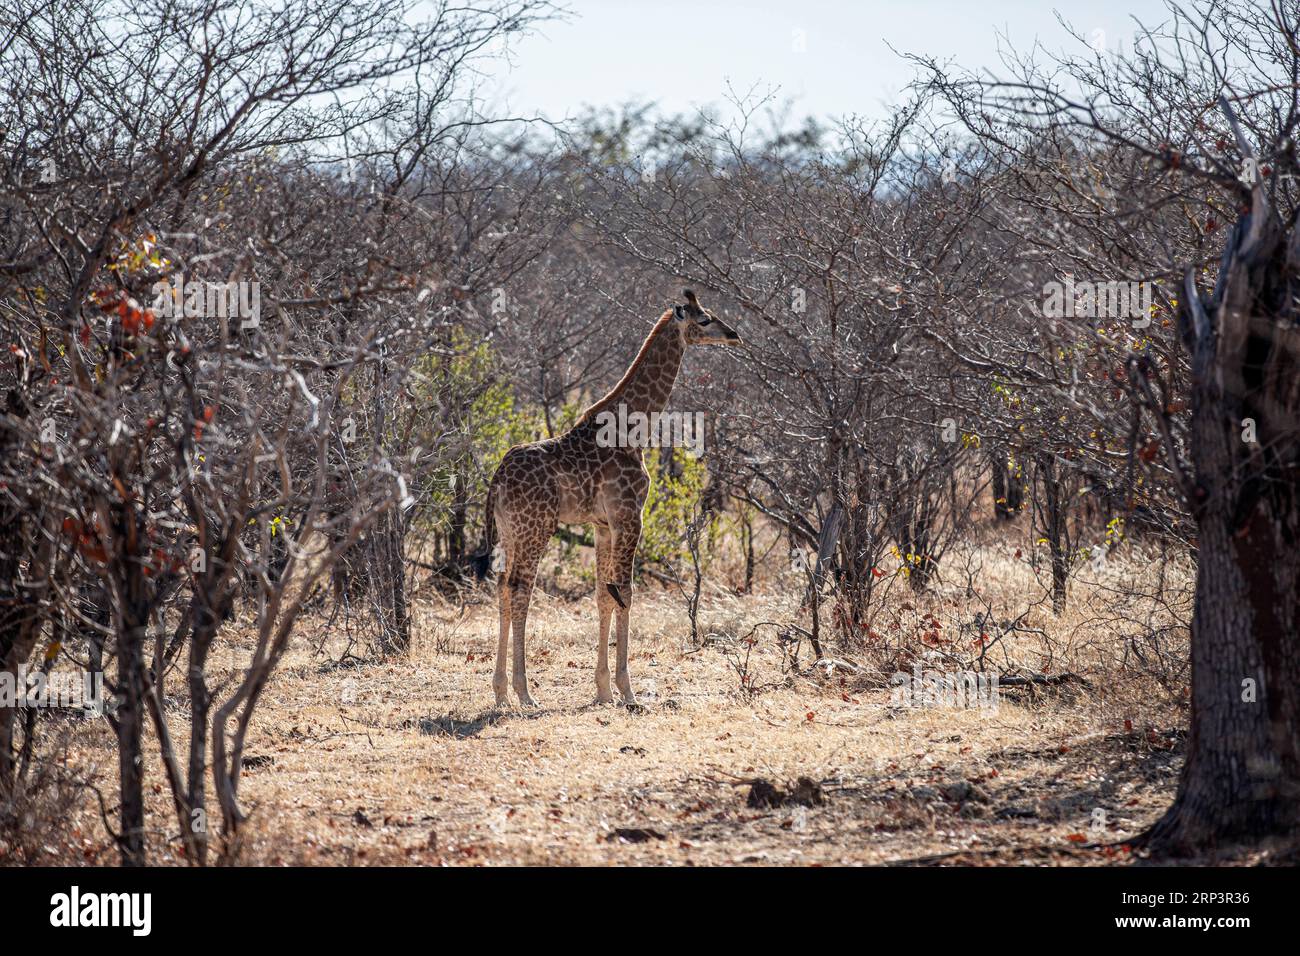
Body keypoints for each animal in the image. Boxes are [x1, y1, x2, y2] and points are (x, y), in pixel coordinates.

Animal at [478, 290, 740, 708]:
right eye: (704, 320)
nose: (733, 334)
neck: (636, 430)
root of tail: (497, 478)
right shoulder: (630, 515)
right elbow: (626, 593)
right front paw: (628, 691)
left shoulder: (603, 525)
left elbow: (604, 595)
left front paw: (602, 690)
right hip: (537, 527)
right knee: (520, 588)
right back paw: (524, 692)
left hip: (510, 530)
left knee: (503, 586)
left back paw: (501, 692)